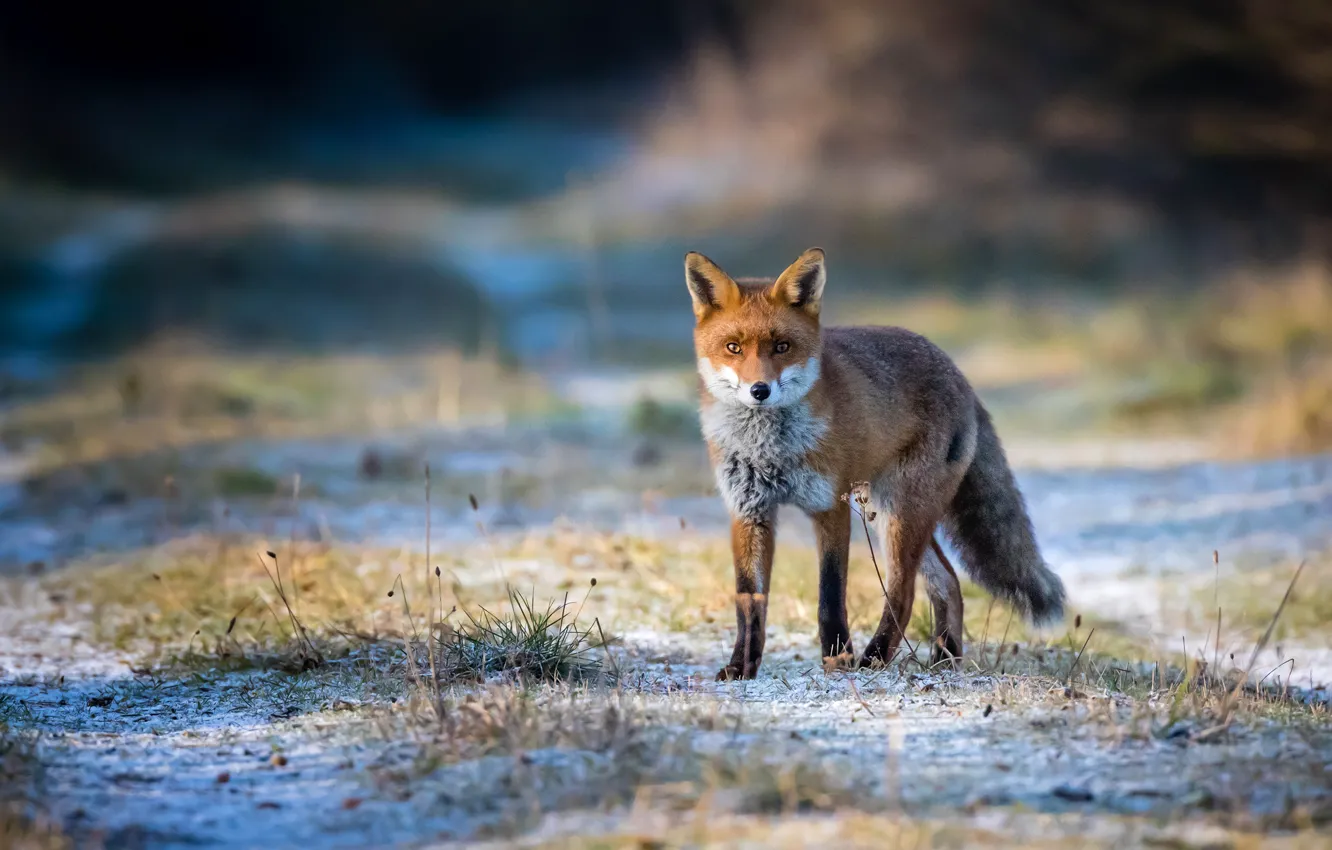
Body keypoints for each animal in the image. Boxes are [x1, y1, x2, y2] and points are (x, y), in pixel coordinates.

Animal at [684, 247, 1066, 680]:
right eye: (733, 347)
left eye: (782, 347)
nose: (759, 390)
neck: (769, 450)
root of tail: (960, 376)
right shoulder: (749, 511)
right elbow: (749, 600)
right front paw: (741, 666)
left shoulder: (829, 507)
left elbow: (830, 596)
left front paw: (838, 659)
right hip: (892, 513)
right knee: (948, 582)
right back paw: (944, 659)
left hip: (900, 514)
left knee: (904, 592)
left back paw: (875, 658)